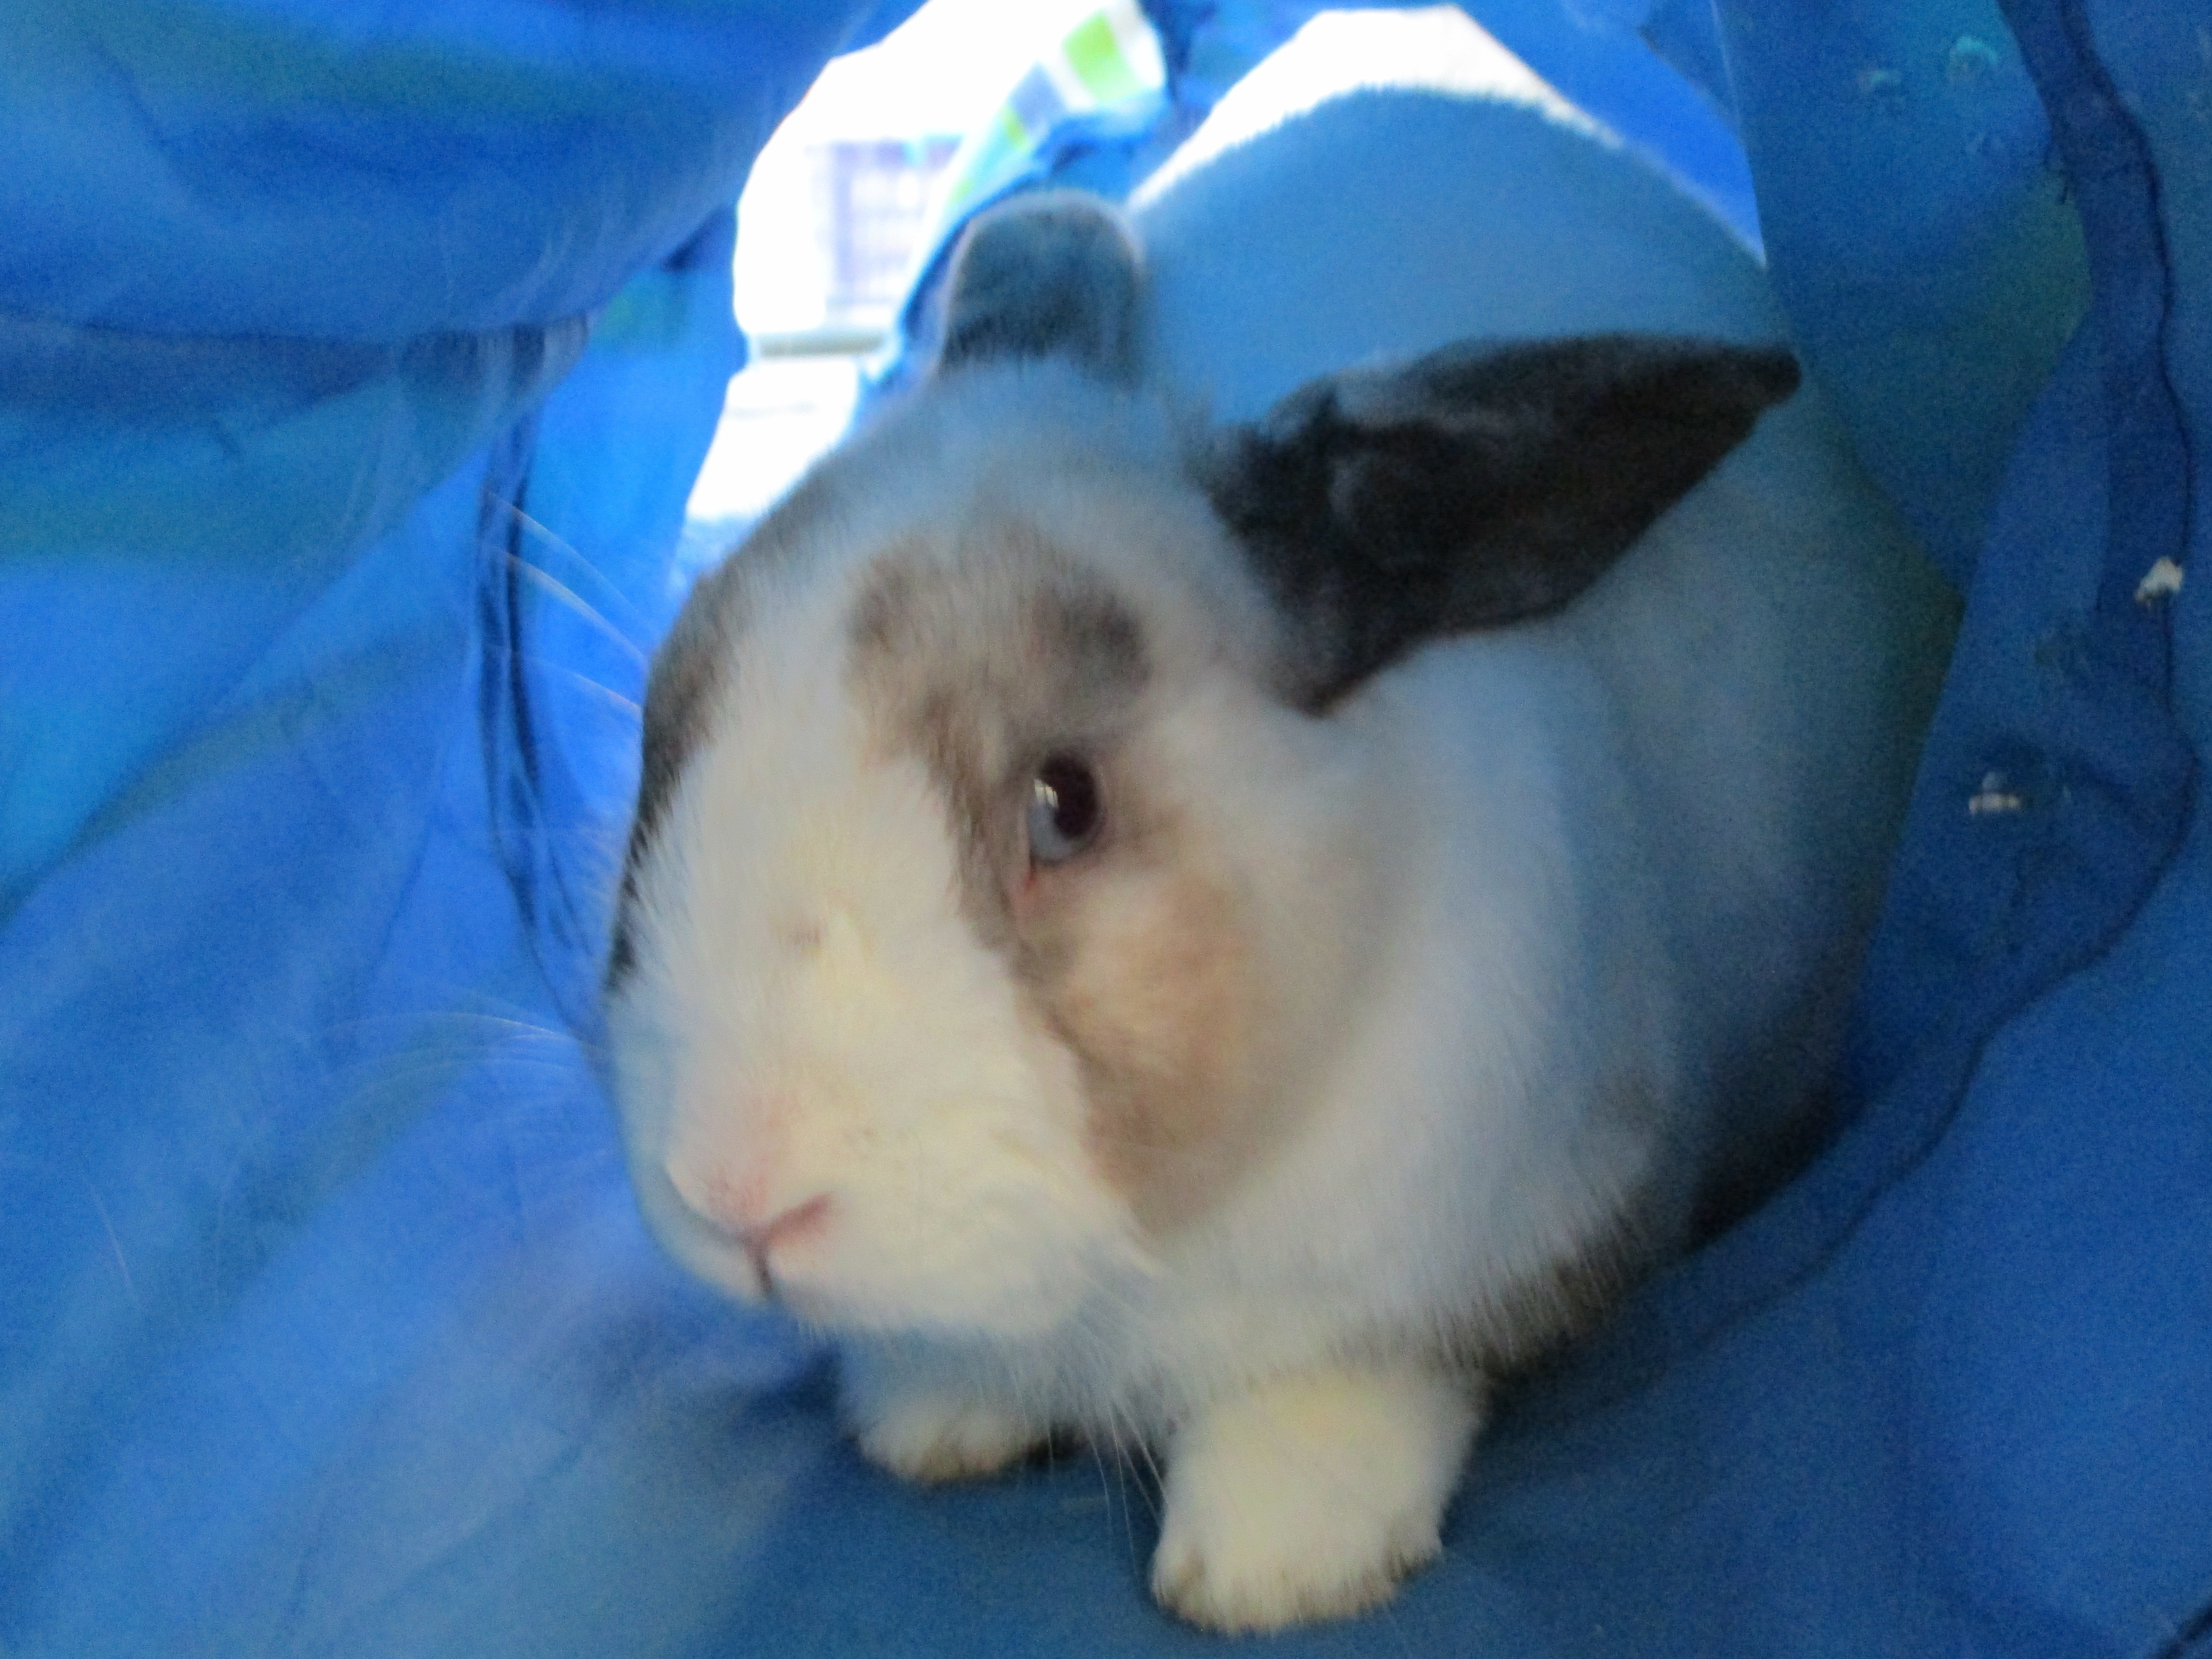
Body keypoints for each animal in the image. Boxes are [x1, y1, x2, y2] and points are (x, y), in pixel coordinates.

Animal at [603, 84, 1954, 1633]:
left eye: (1067, 803)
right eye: (667, 719)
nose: (734, 1190)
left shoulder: (1525, 1230)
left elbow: (1358, 1376)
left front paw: (1275, 1565)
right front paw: (932, 1421)